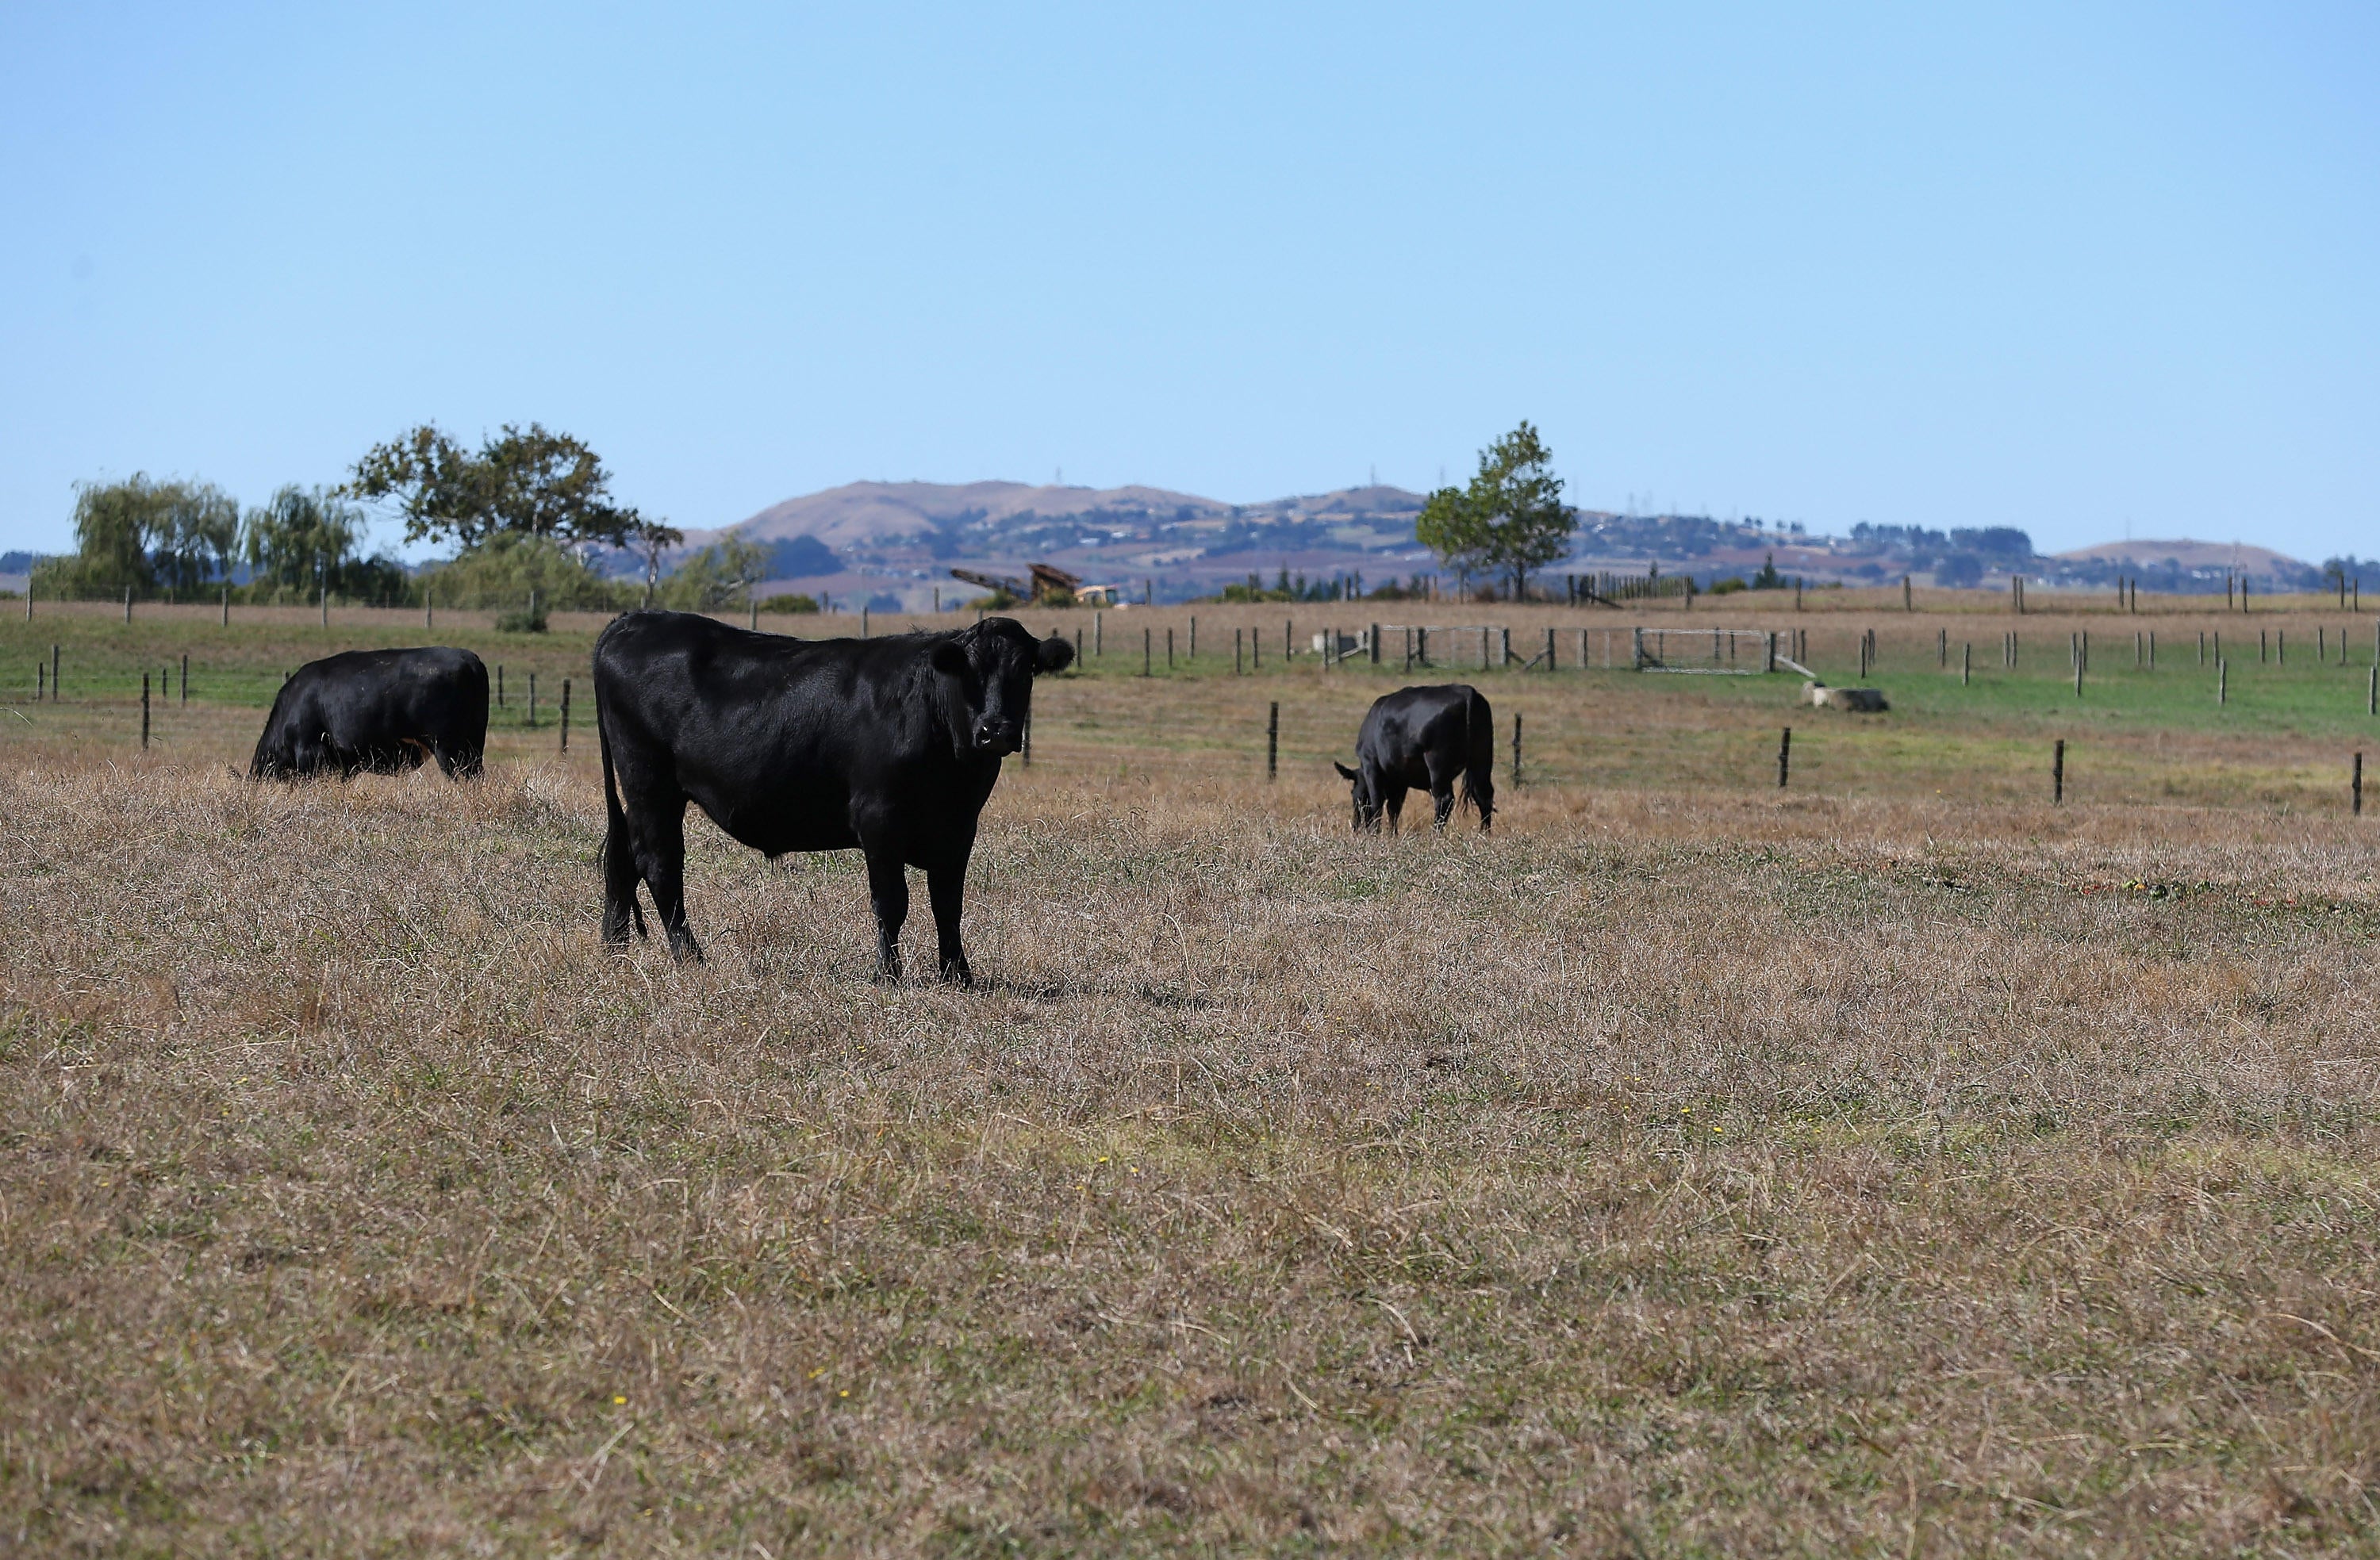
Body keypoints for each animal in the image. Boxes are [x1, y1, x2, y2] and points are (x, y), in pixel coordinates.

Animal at [593, 610, 1074, 982]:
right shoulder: (879, 819)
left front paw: (958, 975)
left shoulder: (958, 830)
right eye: (968, 671)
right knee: (659, 865)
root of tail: (634, 620)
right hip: (650, 784)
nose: (997, 731)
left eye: (1025, 671)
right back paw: (691, 958)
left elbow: (948, 904)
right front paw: (887, 975)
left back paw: (614, 949)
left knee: (621, 859)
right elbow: (892, 902)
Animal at [1333, 684, 1494, 834]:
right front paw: (1392, 834)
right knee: (1483, 795)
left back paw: (1435, 833)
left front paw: (1375, 832)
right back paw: (1484, 834)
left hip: (1438, 764)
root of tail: (1468, 692)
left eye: (1355, 796)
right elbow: (1394, 807)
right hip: (1482, 759)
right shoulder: (1400, 778)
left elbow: (1377, 802)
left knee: (1444, 799)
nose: (1355, 828)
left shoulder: (1371, 764)